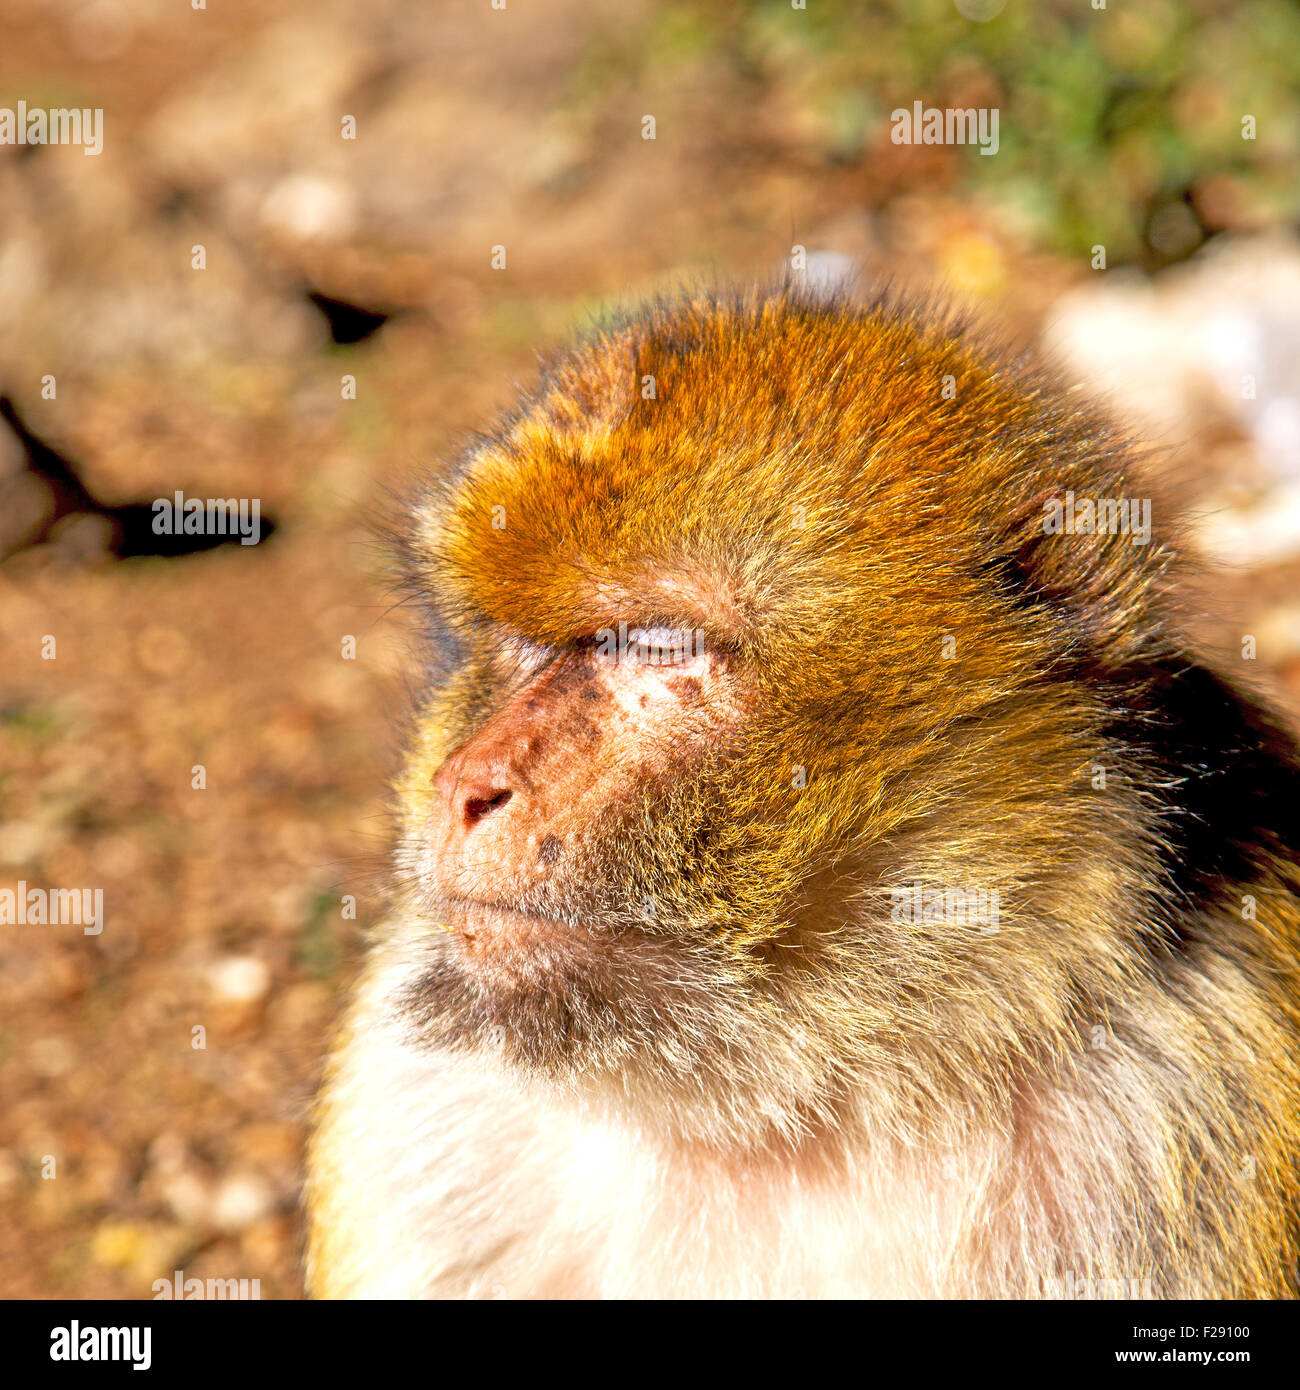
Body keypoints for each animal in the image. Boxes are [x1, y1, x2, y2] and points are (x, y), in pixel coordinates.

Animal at [305, 283, 1300, 1299]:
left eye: (657, 644)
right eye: (516, 643)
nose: (467, 784)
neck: (816, 1105)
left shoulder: (1189, 1099)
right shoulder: (422, 1117)